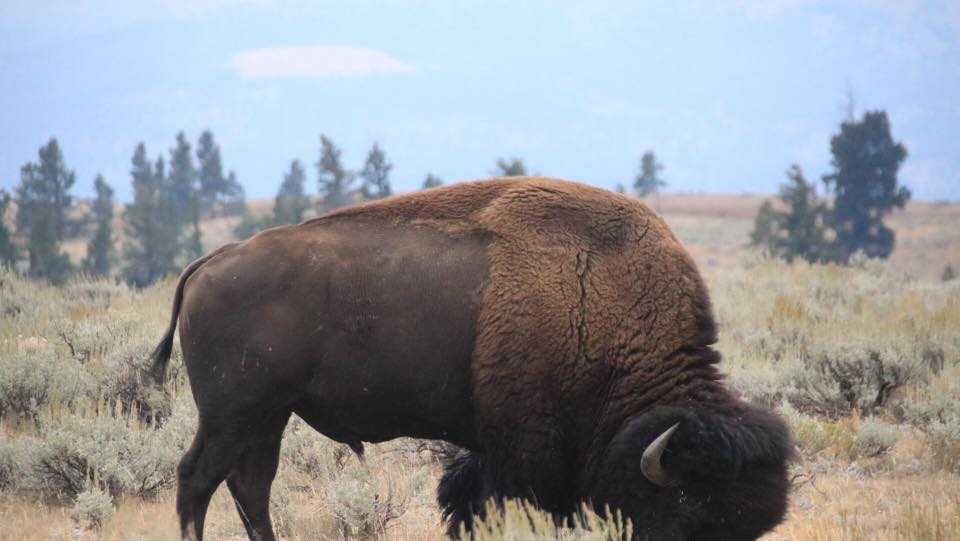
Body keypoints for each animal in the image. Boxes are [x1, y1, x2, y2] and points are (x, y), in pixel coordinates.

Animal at [151, 177, 791, 540]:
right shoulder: (522, 453)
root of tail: (210, 262)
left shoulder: (492, 449)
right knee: (198, 479)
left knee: (250, 486)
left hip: (268, 416)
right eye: (691, 517)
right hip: (234, 413)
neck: (600, 297)